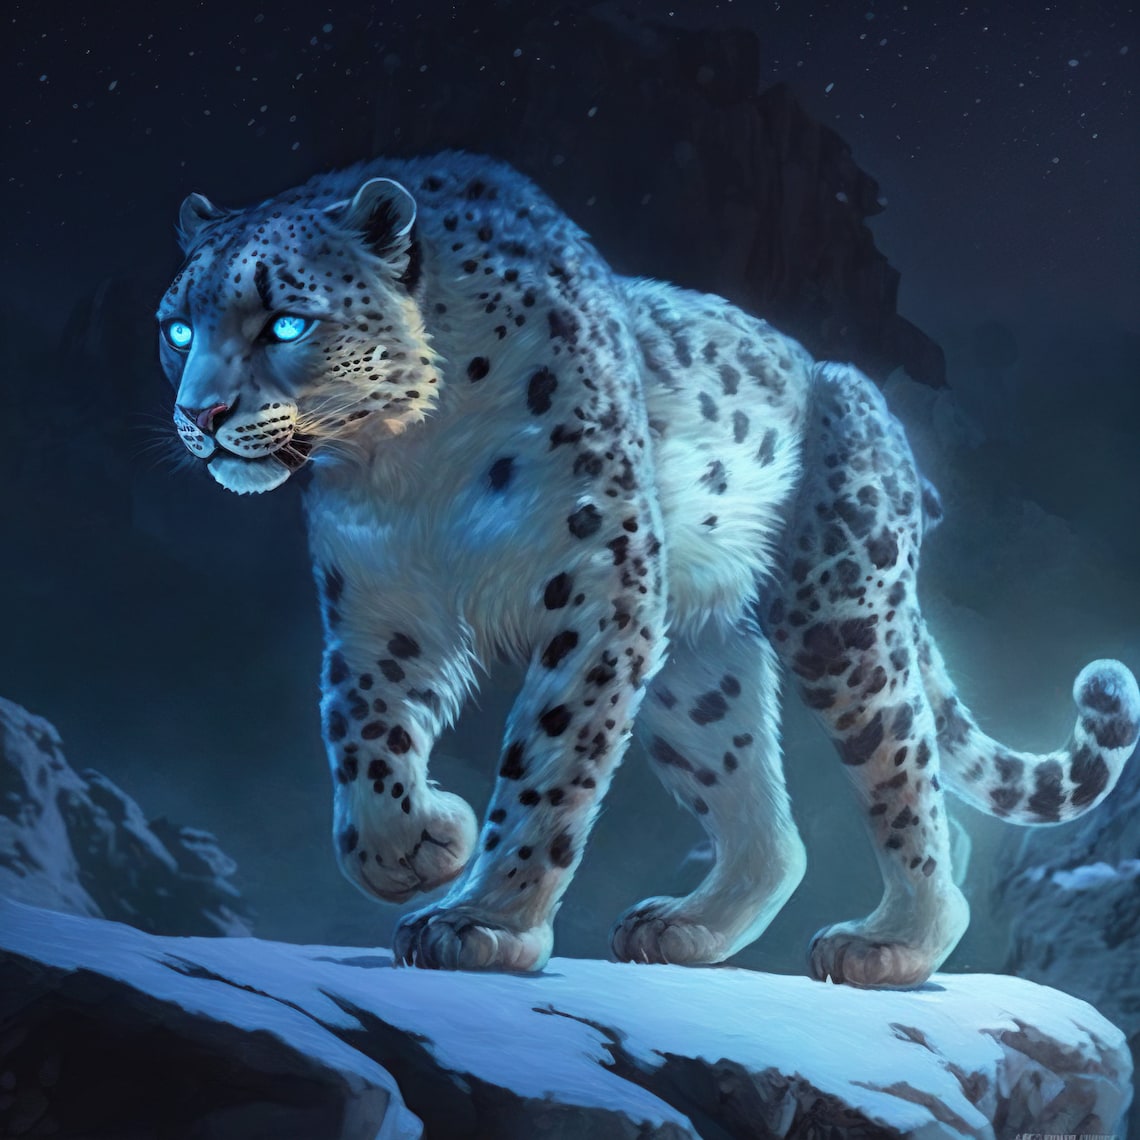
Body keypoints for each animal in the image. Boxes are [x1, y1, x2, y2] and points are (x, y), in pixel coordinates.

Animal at [157, 151, 1140, 988]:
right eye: (176, 327)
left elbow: (550, 762)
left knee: (907, 776)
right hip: (697, 668)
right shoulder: (378, 604)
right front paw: (414, 847)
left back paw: (891, 944)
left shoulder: (597, 583)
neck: (400, 462)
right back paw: (682, 927)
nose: (199, 415)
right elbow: (361, 733)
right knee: (764, 816)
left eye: (287, 321)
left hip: (839, 613)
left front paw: (482, 922)